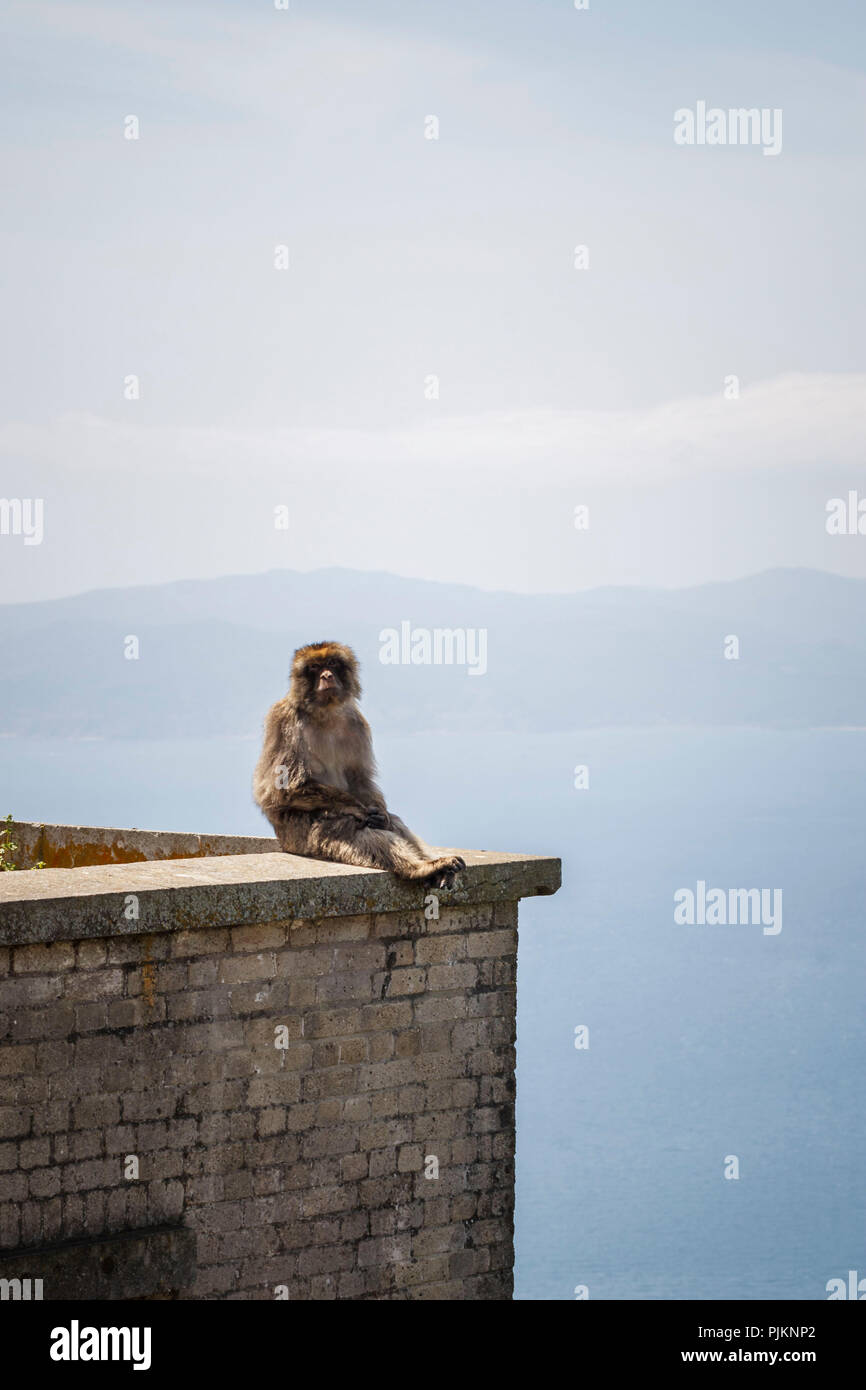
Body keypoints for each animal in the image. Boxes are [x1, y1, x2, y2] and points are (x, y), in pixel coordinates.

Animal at [252, 641, 466, 887]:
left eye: (332, 663)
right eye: (314, 666)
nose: (326, 675)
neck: (325, 712)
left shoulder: (357, 722)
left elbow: (359, 778)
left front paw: (380, 812)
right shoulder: (284, 719)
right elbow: (286, 788)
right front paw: (358, 807)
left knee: (391, 823)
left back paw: (437, 865)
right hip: (300, 834)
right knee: (350, 829)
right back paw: (419, 869)